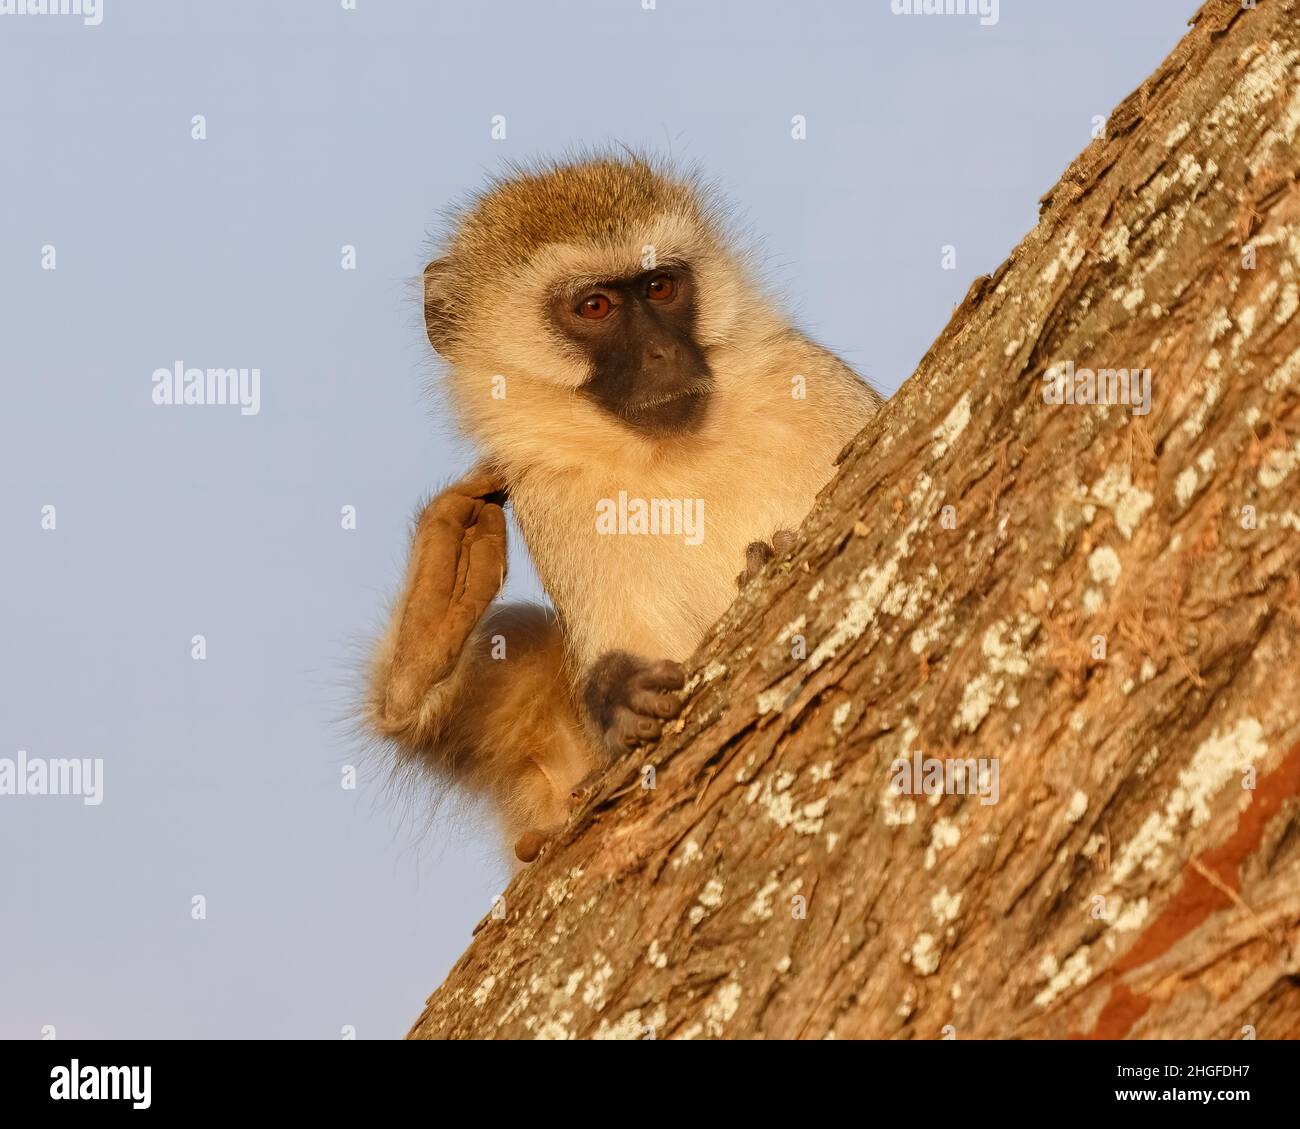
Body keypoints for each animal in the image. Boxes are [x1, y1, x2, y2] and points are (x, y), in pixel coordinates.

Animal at [368, 153, 883, 866]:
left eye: (661, 287)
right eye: (596, 306)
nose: (663, 354)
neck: (668, 456)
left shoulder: (811, 385)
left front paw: (765, 559)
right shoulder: (545, 492)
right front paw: (618, 693)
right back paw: (426, 639)